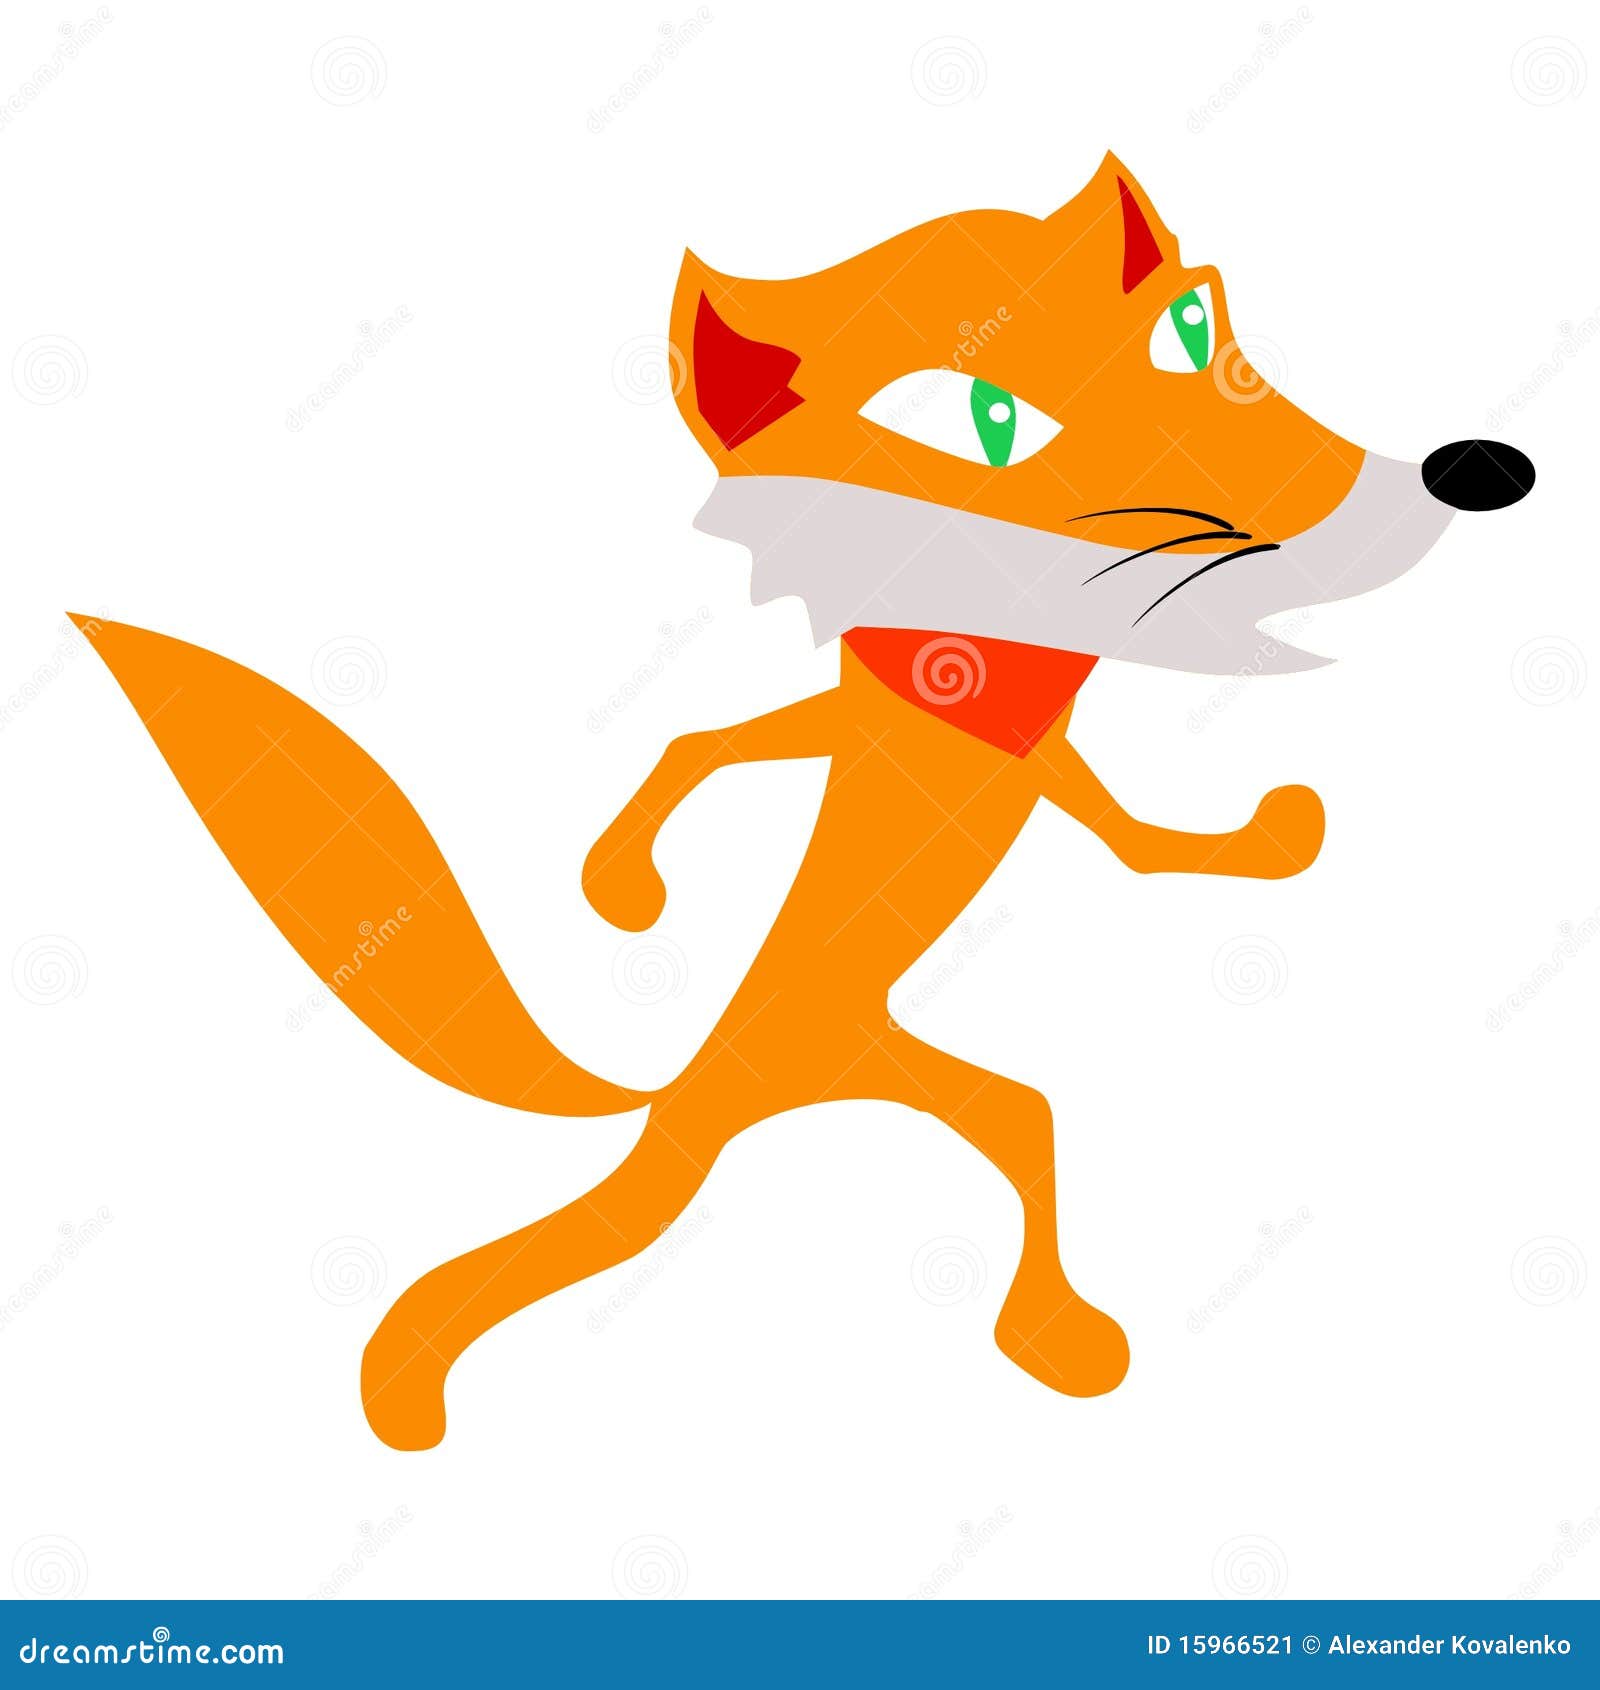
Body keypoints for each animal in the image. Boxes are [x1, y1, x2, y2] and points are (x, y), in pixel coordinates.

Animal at [74, 154, 1533, 1450]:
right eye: (983, 422)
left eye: (1188, 331)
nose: (1473, 473)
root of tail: (706, 1068)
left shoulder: (1000, 735)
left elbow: (1082, 822)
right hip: (829, 1084)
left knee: (1017, 1116)